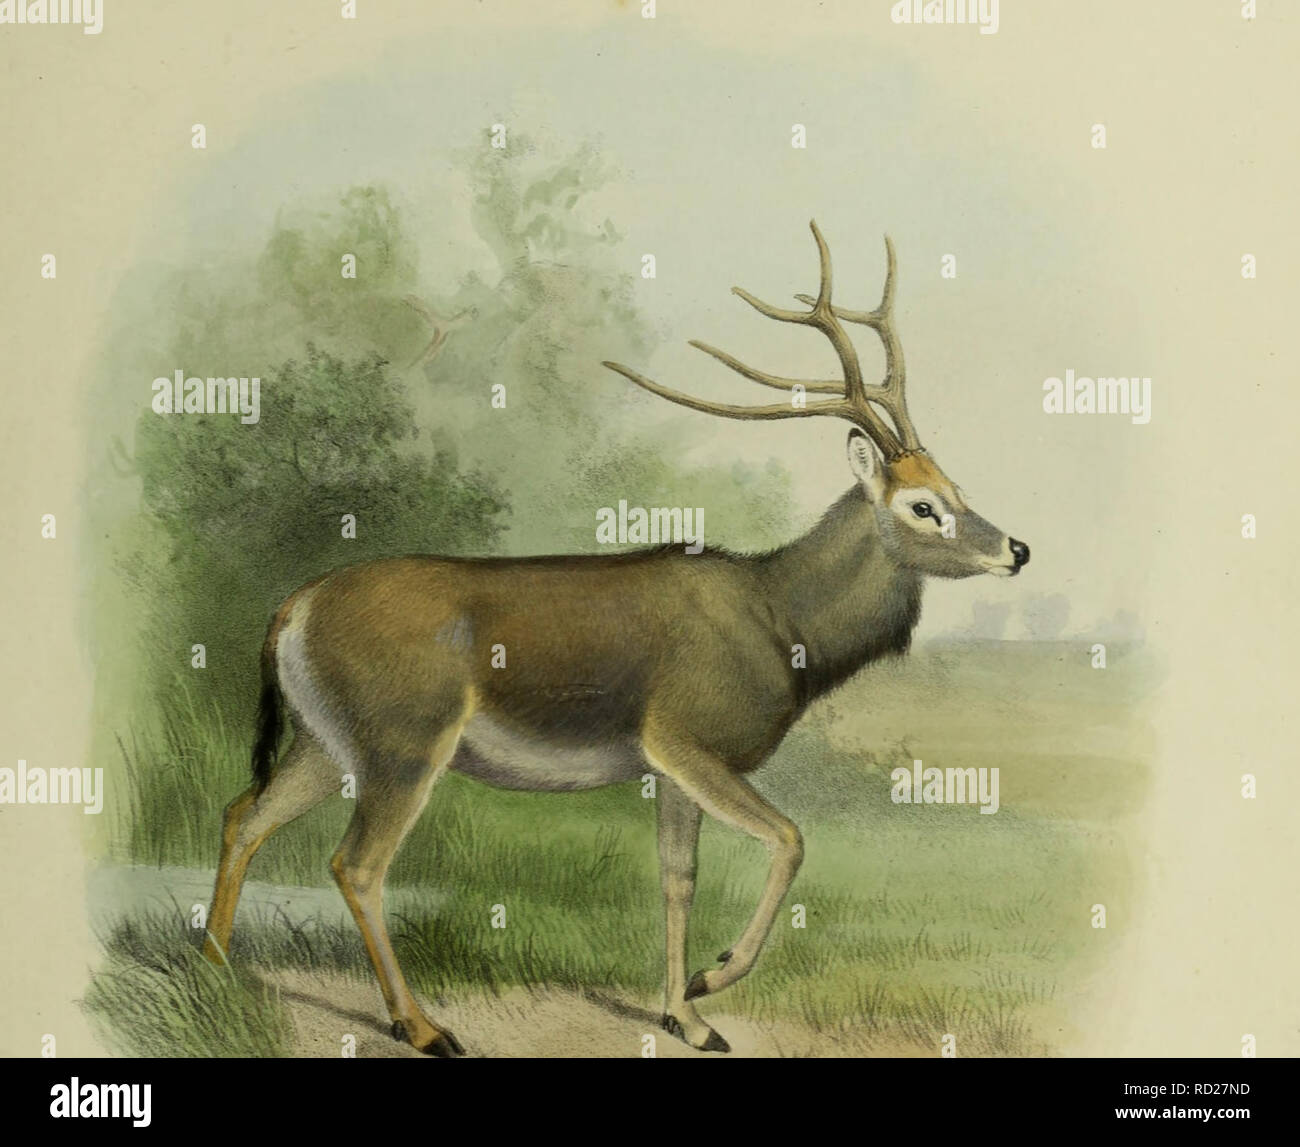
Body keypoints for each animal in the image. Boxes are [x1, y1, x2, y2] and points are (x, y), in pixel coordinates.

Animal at [202, 221, 1029, 1057]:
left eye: (957, 488)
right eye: (924, 504)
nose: (1017, 549)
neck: (780, 618)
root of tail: (293, 607)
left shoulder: (670, 768)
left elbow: (677, 876)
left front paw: (686, 1017)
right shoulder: (685, 738)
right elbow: (791, 837)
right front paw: (711, 977)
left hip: (324, 741)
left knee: (245, 813)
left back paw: (214, 964)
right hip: (404, 741)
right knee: (356, 862)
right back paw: (422, 1024)